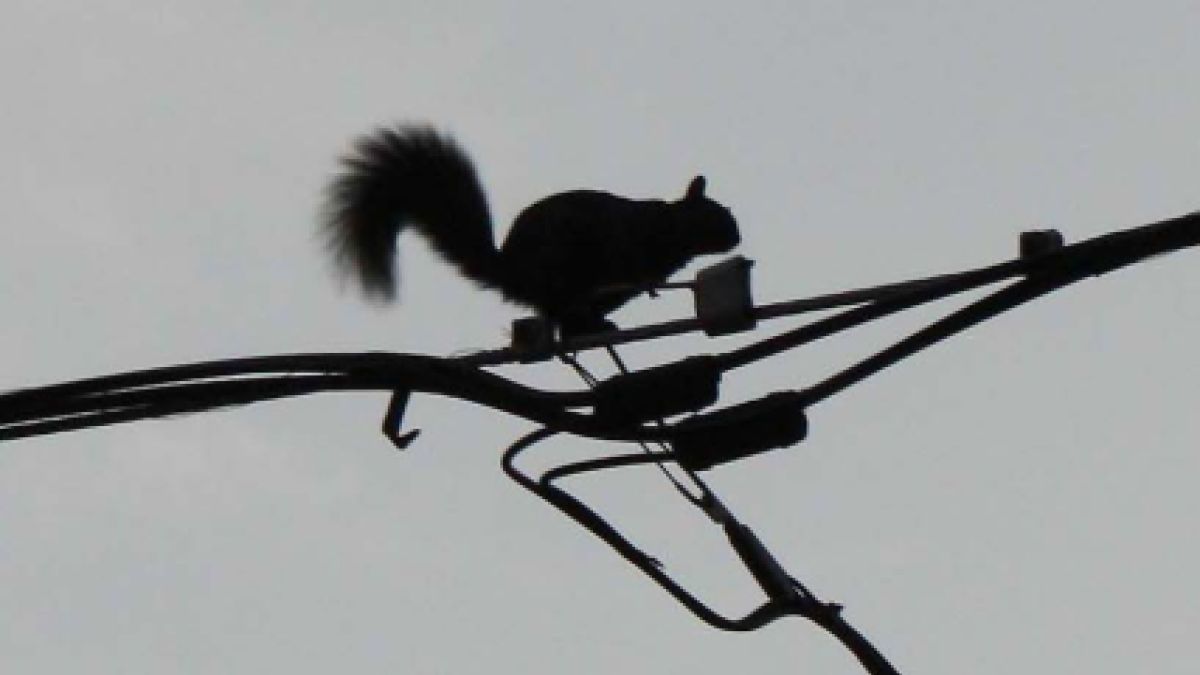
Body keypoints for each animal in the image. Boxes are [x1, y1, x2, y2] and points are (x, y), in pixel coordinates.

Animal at [321, 124, 741, 336]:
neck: (670, 227)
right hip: (567, 268)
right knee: (558, 311)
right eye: (715, 213)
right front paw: (650, 280)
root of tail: (514, 273)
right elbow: (633, 260)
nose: (737, 237)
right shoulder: (631, 238)